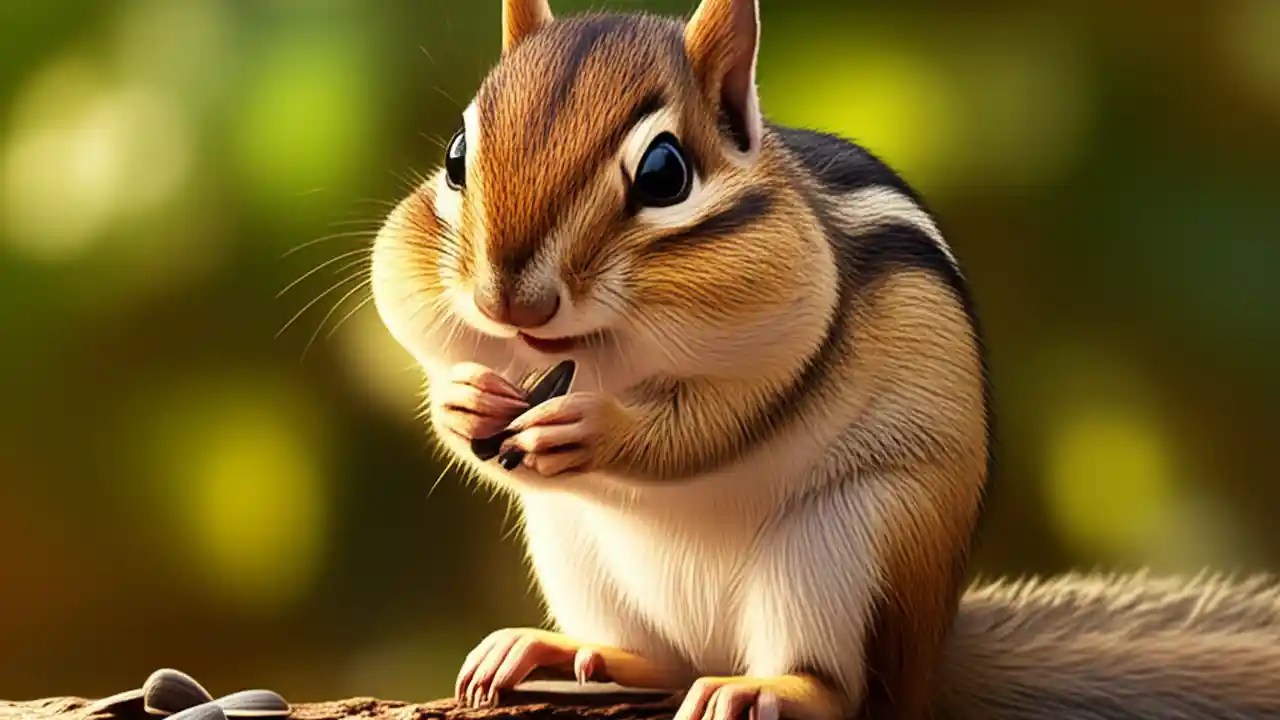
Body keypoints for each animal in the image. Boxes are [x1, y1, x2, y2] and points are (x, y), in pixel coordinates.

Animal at [369, 1, 1280, 718]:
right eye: (456, 157)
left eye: (664, 173)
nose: (510, 306)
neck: (598, 356)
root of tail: (933, 655)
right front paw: (461, 400)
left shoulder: (796, 337)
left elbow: (709, 426)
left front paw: (595, 426)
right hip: (571, 545)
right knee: (657, 660)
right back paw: (545, 649)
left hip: (848, 554)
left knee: (837, 691)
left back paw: (765, 688)